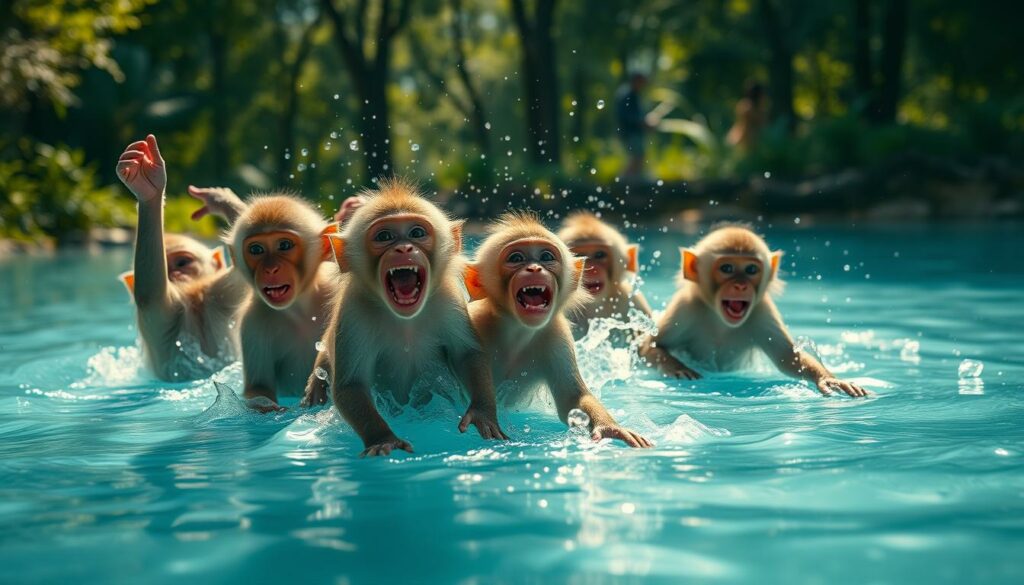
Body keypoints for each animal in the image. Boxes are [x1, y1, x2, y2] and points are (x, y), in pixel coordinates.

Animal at [116, 135, 250, 381]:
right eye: (168, 268)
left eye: (182, 263)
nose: (175, 274)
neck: (193, 304)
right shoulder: (163, 313)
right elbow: (149, 294)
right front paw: (149, 192)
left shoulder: (218, 295)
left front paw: (220, 199)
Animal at [229, 194, 341, 412]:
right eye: (256, 249)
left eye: (285, 245)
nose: (270, 269)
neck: (299, 308)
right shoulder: (252, 322)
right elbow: (259, 388)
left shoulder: (331, 286)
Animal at [302, 179, 506, 456]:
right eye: (384, 236)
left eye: (417, 233)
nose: (404, 248)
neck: (404, 318)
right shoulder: (353, 310)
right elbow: (351, 384)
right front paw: (383, 439)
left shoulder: (448, 298)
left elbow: (467, 354)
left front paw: (482, 413)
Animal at [638, 225, 868, 397]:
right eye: (727, 268)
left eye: (751, 270)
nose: (741, 285)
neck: (721, 320)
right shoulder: (685, 307)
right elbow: (650, 347)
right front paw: (679, 368)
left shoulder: (762, 311)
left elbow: (787, 357)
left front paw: (828, 378)